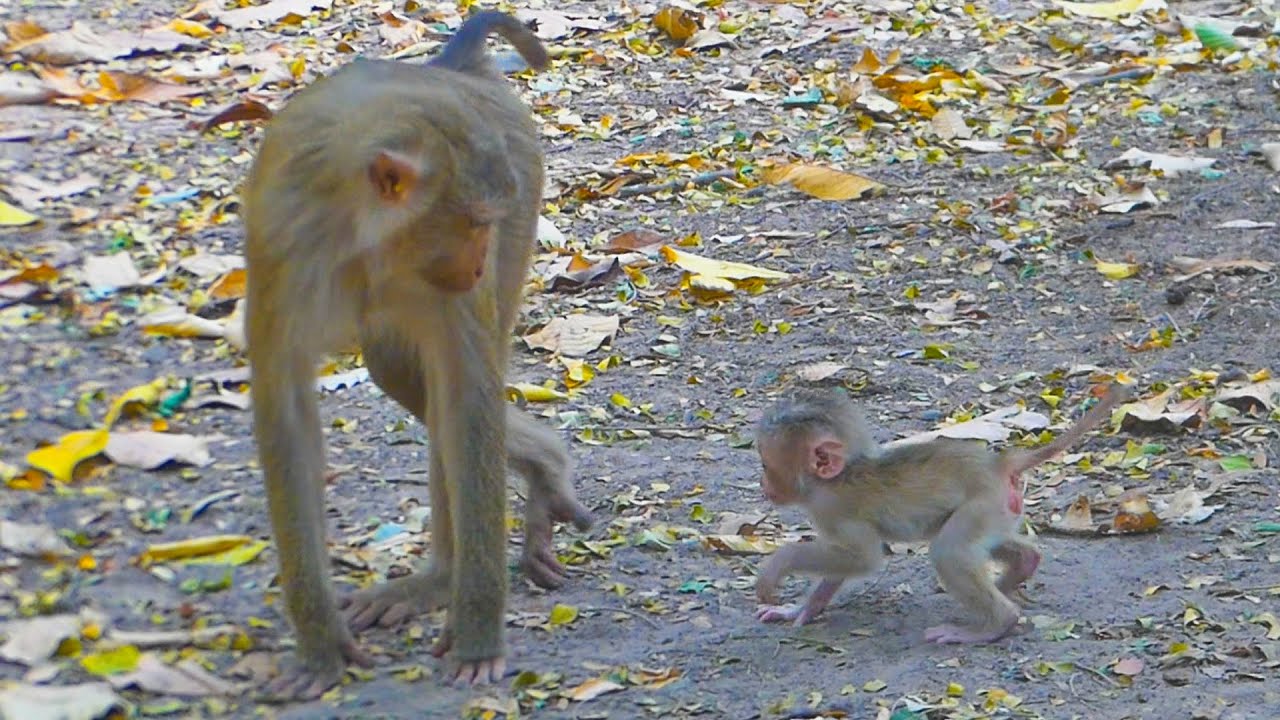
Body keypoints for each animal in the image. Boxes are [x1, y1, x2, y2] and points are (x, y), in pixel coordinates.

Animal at [242, 11, 590, 701]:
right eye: (470, 221)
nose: (479, 262)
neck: (362, 240)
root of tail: (448, 70)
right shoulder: (283, 244)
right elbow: (287, 413)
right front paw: (320, 645)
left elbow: (468, 396)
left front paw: (479, 633)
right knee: (402, 373)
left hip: (523, 179)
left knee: (446, 391)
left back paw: (461, 562)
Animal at [752, 384, 1130, 643]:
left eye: (767, 464)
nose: (763, 483)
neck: (834, 478)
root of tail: (996, 463)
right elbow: (841, 563)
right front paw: (801, 609)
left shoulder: (832, 506)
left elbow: (861, 558)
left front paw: (778, 564)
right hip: (1001, 507)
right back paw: (1020, 568)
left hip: (983, 502)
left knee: (948, 551)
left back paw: (996, 624)